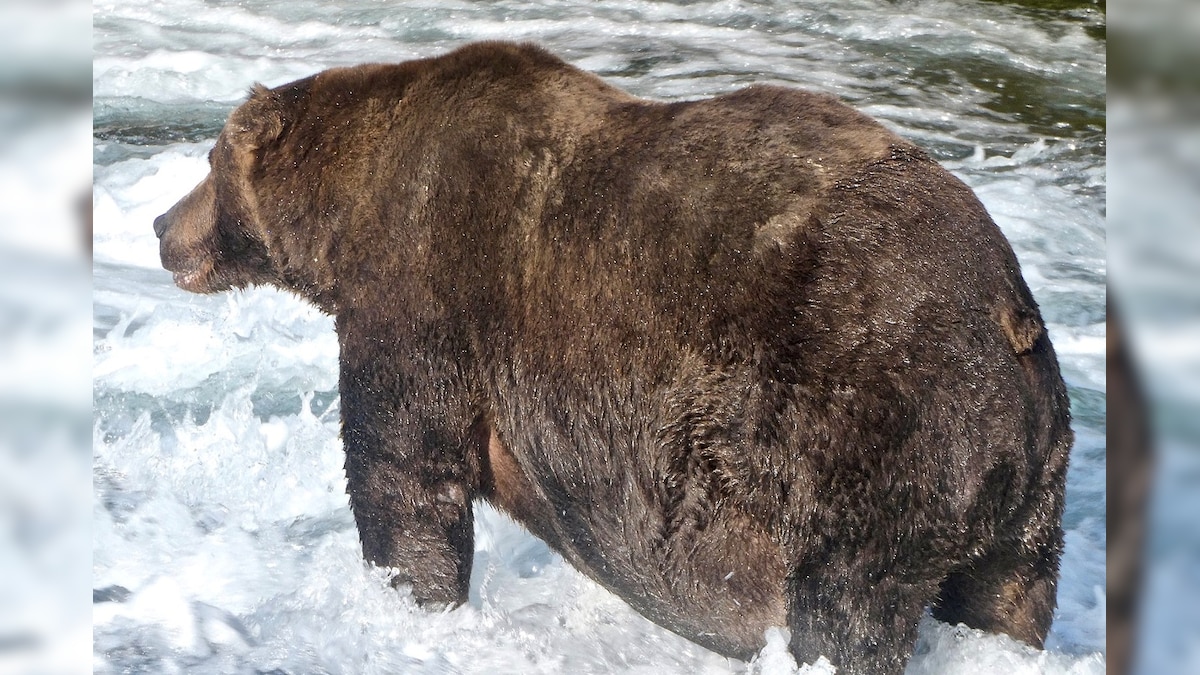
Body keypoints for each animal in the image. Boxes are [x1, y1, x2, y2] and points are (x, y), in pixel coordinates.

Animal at [153, 41, 1072, 675]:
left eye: (207, 163)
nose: (162, 227)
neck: (343, 217)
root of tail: (1010, 314)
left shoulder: (424, 285)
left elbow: (404, 473)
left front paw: (408, 599)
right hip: (1024, 491)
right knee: (1006, 597)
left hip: (870, 432)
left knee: (846, 609)